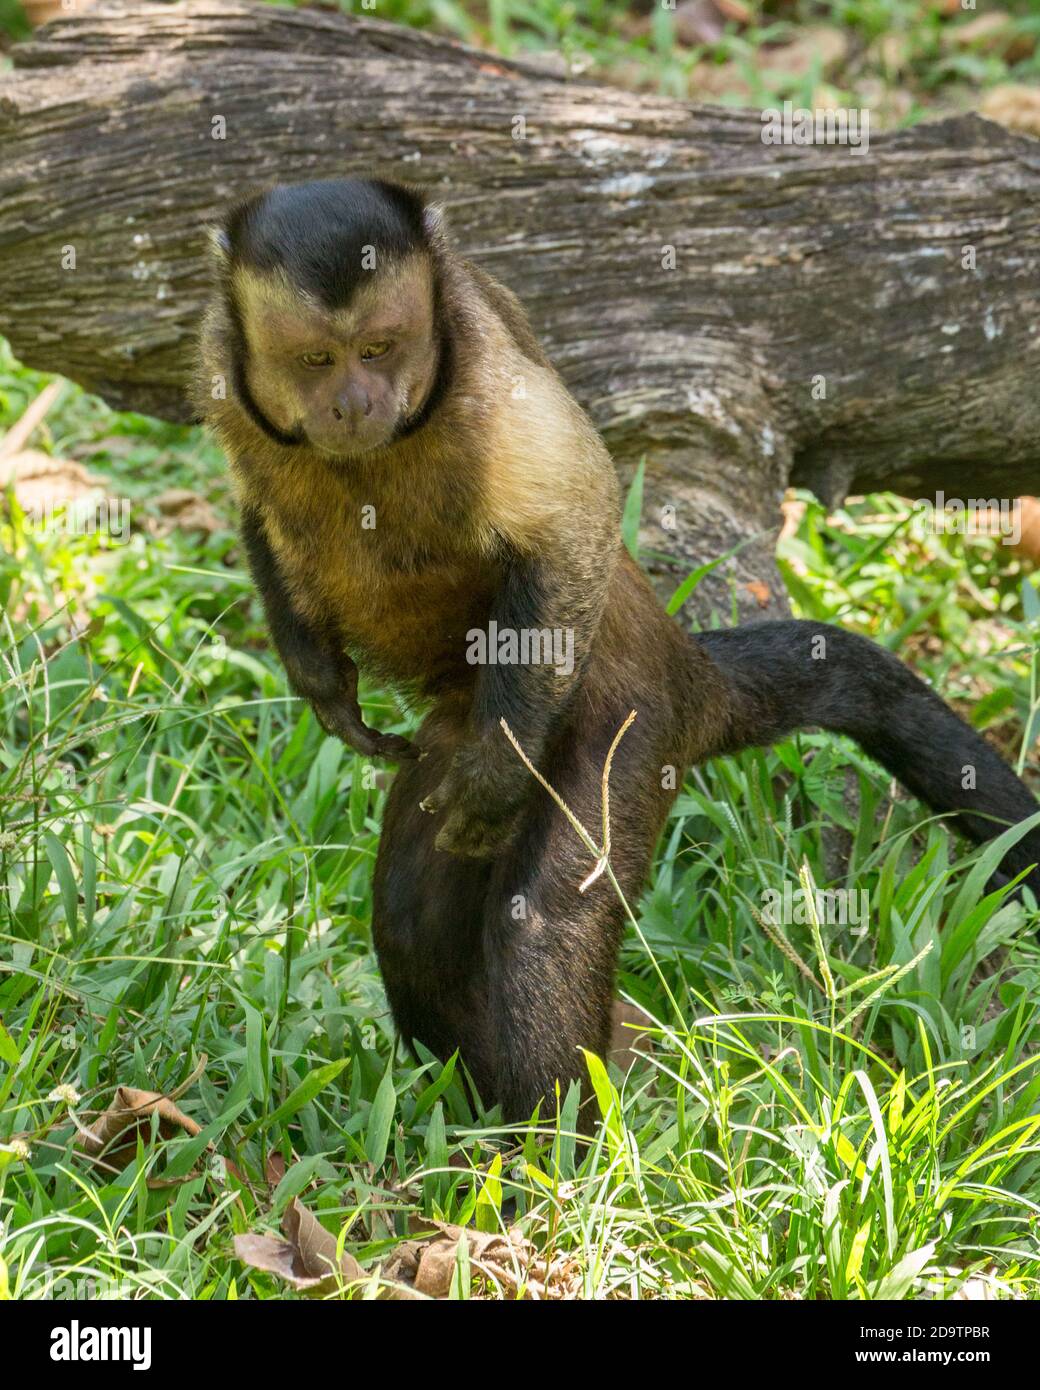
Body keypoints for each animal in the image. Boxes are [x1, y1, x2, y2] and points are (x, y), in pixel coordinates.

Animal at [194, 177, 1040, 1124]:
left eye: (379, 348)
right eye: (315, 361)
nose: (353, 404)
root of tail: (689, 668)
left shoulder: (489, 382)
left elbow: (571, 525)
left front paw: (497, 777)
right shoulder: (221, 371)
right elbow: (256, 510)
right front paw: (323, 686)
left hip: (630, 723)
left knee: (545, 914)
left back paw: (557, 1146)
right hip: (451, 737)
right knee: (413, 922)